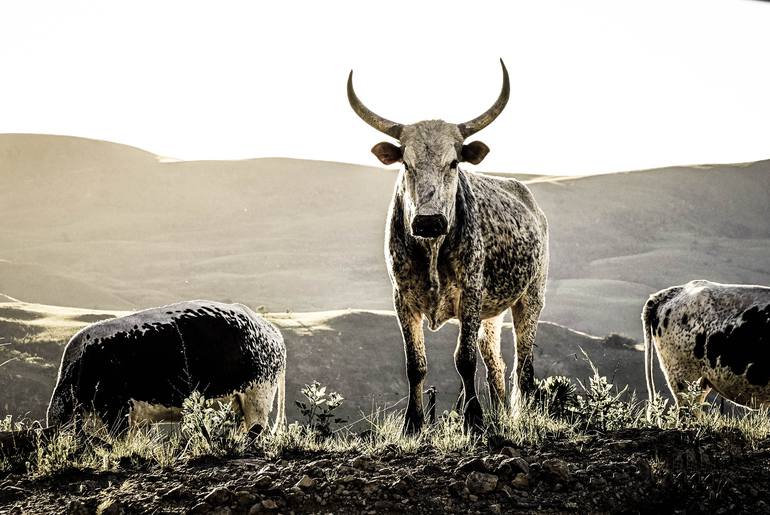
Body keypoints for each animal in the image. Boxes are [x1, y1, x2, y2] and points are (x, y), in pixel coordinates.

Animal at [347, 60, 549, 433]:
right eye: (406, 163)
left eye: (453, 162)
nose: (429, 221)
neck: (432, 250)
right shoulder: (402, 299)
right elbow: (415, 364)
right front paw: (413, 423)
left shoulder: (470, 293)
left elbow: (464, 359)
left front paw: (473, 418)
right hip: (491, 314)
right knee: (495, 363)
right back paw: (500, 414)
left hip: (531, 297)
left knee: (523, 365)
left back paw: (520, 415)